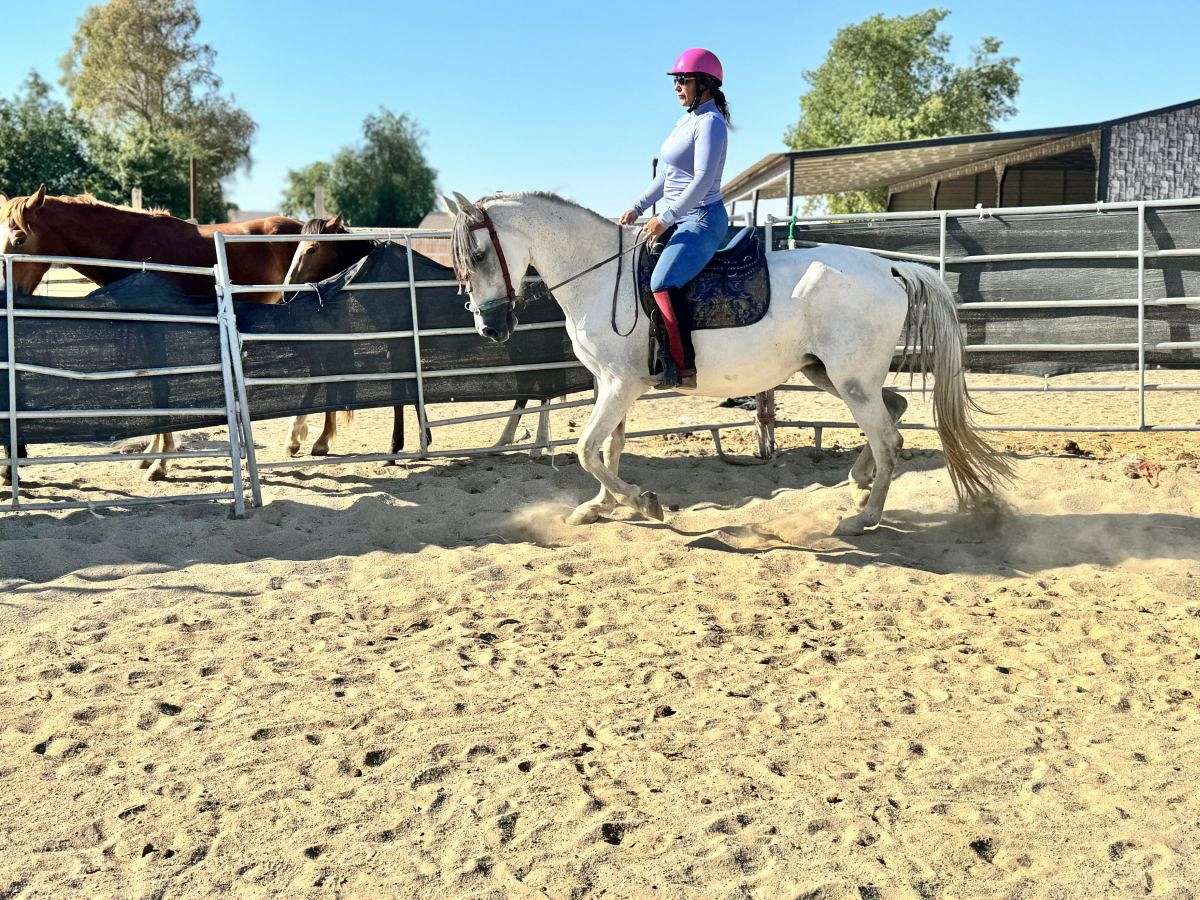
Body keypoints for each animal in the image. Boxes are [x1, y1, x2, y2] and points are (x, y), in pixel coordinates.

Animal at [444, 190, 1013, 535]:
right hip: (830, 374)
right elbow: (609, 447)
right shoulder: (614, 384)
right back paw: (857, 483)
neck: (602, 277)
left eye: (478, 256)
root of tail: (887, 267)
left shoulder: (619, 384)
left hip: (850, 381)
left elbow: (587, 449)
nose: (489, 328)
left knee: (888, 438)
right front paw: (601, 507)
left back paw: (863, 518)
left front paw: (642, 501)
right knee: (892, 410)